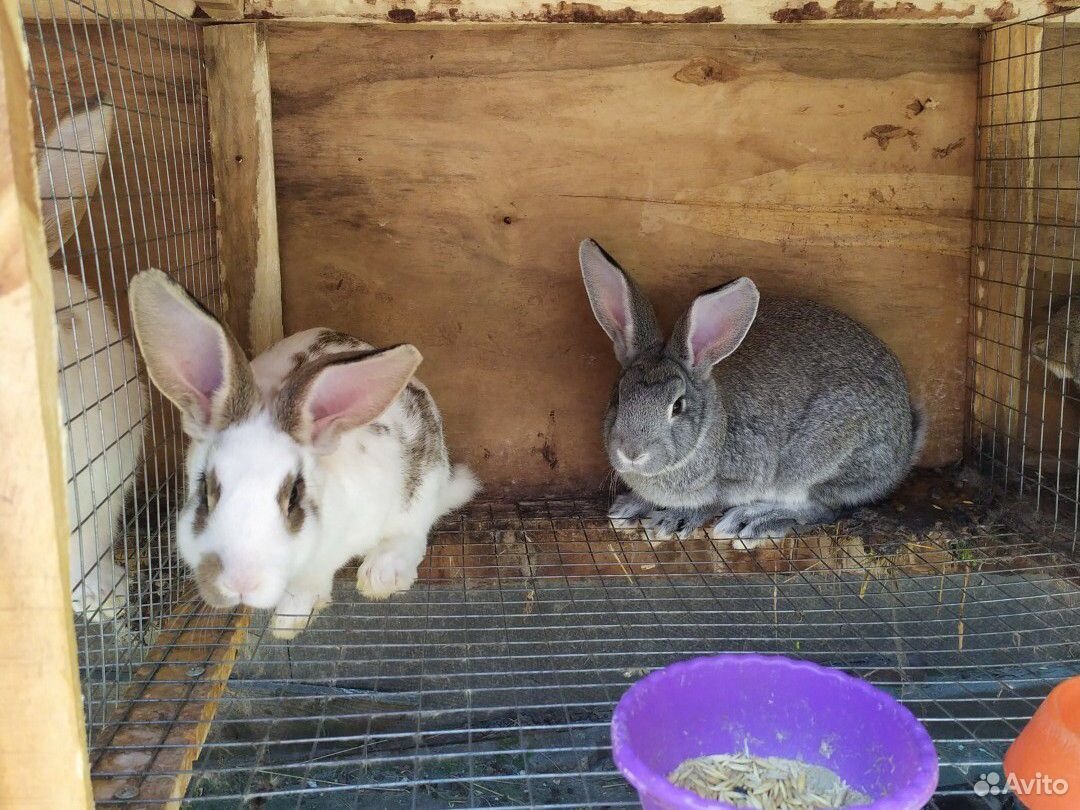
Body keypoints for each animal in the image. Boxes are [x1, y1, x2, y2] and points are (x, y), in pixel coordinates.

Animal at [127, 270, 480, 639]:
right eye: (204, 489)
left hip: (420, 488)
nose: (240, 583)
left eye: (294, 495)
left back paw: (382, 575)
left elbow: (308, 584)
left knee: (412, 533)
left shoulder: (327, 554)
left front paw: (287, 621)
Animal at [578, 239, 925, 550]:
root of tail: (905, 445)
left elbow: (711, 503)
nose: (632, 452)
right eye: (618, 396)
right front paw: (630, 507)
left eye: (677, 406)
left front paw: (673, 520)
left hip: (822, 461)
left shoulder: (744, 473)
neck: (711, 429)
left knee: (823, 508)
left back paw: (754, 520)